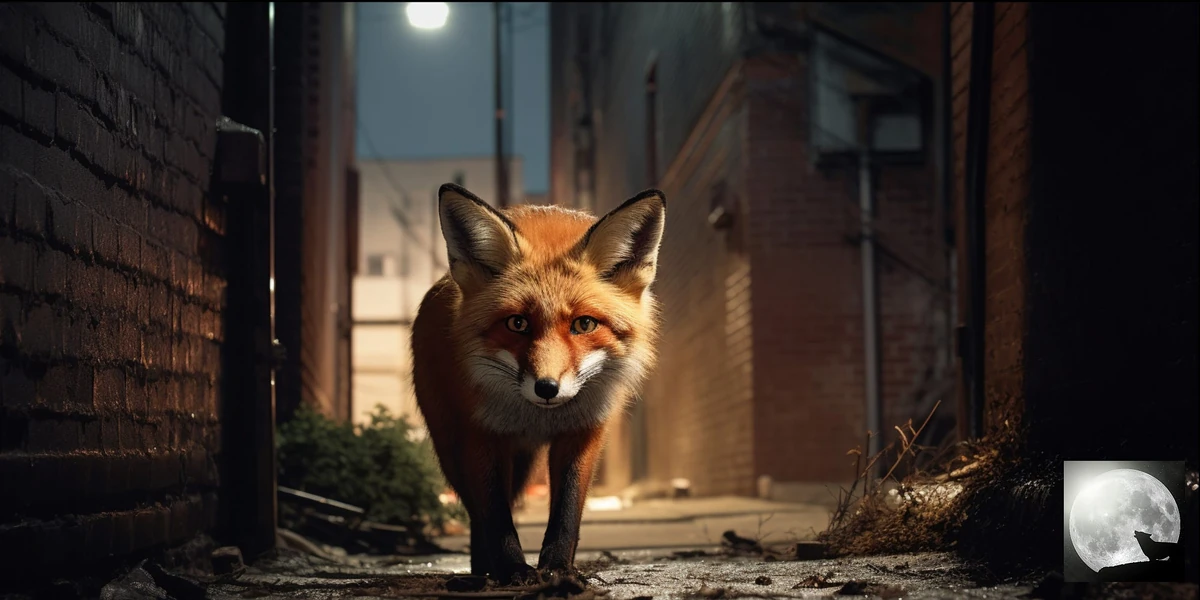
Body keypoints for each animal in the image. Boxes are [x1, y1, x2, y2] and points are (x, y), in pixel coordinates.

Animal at [411, 183, 667, 582]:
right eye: (517, 323)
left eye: (584, 324)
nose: (547, 388)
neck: (538, 419)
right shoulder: (480, 436)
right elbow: (495, 516)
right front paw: (513, 570)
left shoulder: (583, 432)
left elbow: (566, 512)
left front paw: (558, 569)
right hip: (452, 447)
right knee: (475, 512)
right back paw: (481, 571)